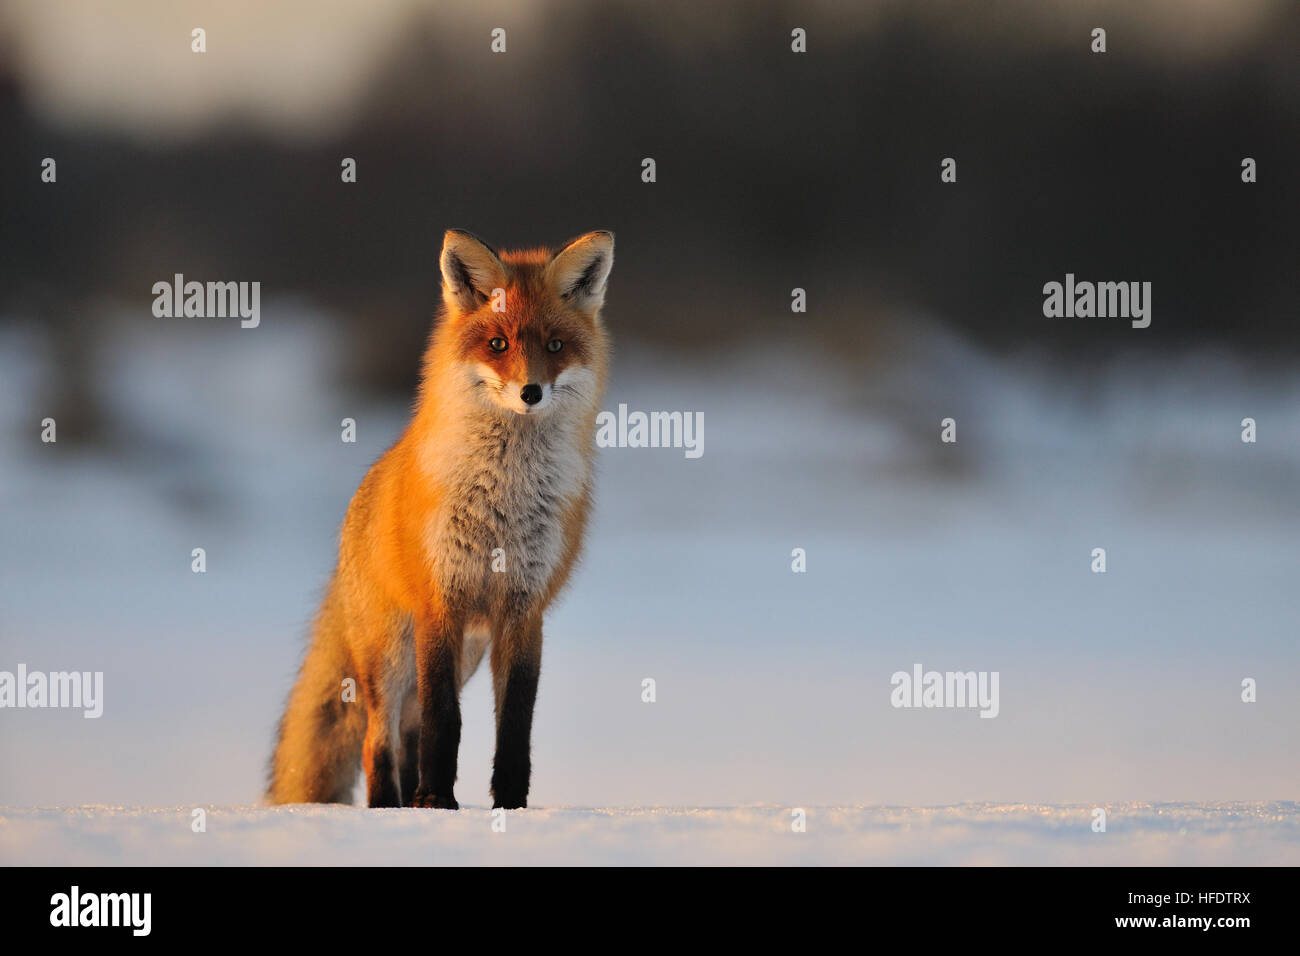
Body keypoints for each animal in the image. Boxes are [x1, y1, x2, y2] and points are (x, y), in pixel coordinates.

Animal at [267, 228, 614, 809]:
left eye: (554, 346)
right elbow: (444, 720)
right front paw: (438, 803)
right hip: (391, 655)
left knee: (408, 732)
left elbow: (515, 721)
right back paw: (391, 806)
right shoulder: (440, 601)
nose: (531, 392)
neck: (503, 501)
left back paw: (410, 800)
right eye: (497, 345)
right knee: (378, 738)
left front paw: (508, 804)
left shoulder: (525, 609)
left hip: (467, 653)